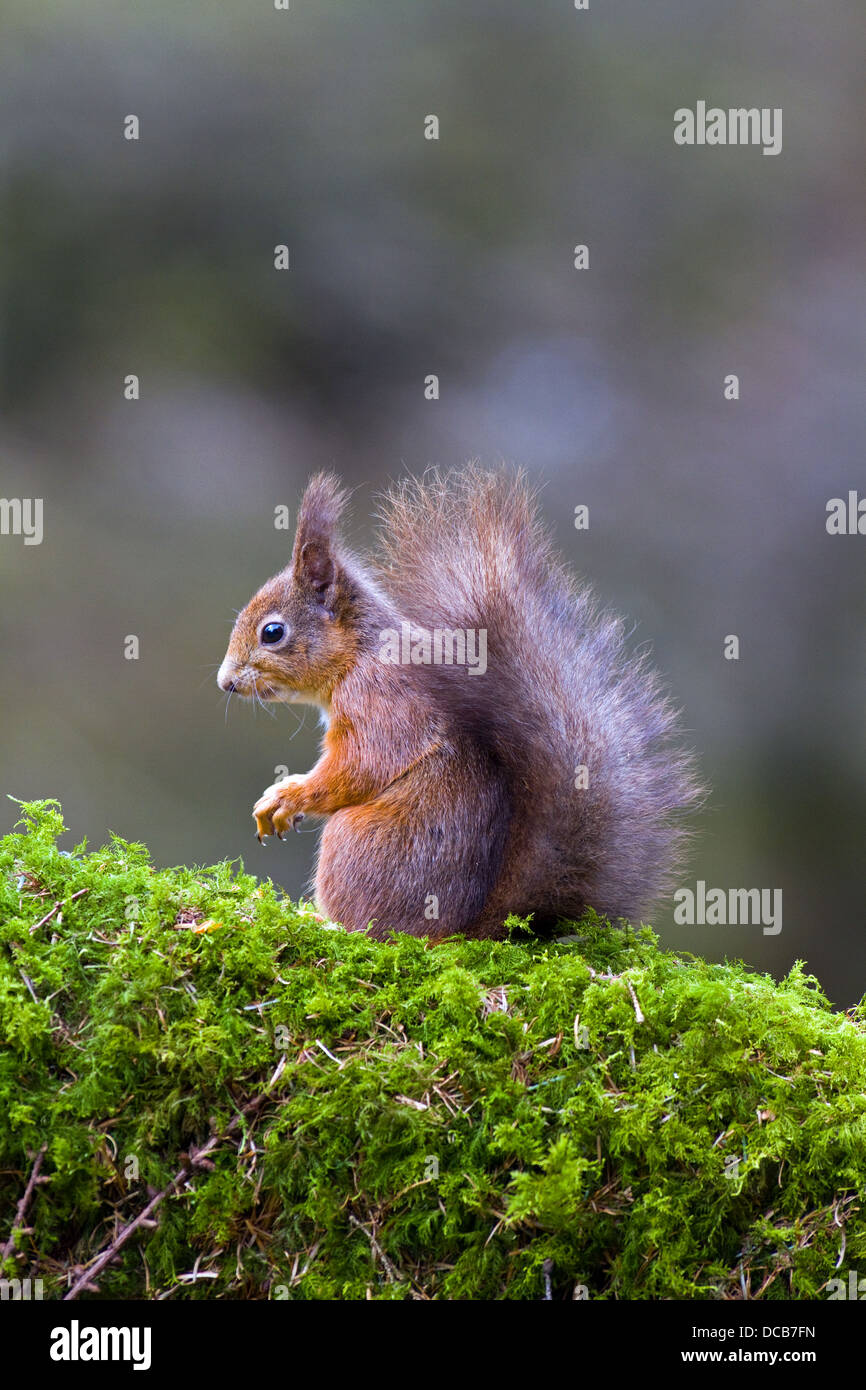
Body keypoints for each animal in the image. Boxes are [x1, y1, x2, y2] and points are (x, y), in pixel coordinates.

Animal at [217, 466, 702, 940]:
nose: (225, 683)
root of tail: (467, 930)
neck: (360, 653)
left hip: (354, 841)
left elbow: (360, 765)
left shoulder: (382, 700)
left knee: (369, 930)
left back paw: (324, 921)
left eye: (273, 632)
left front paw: (287, 795)